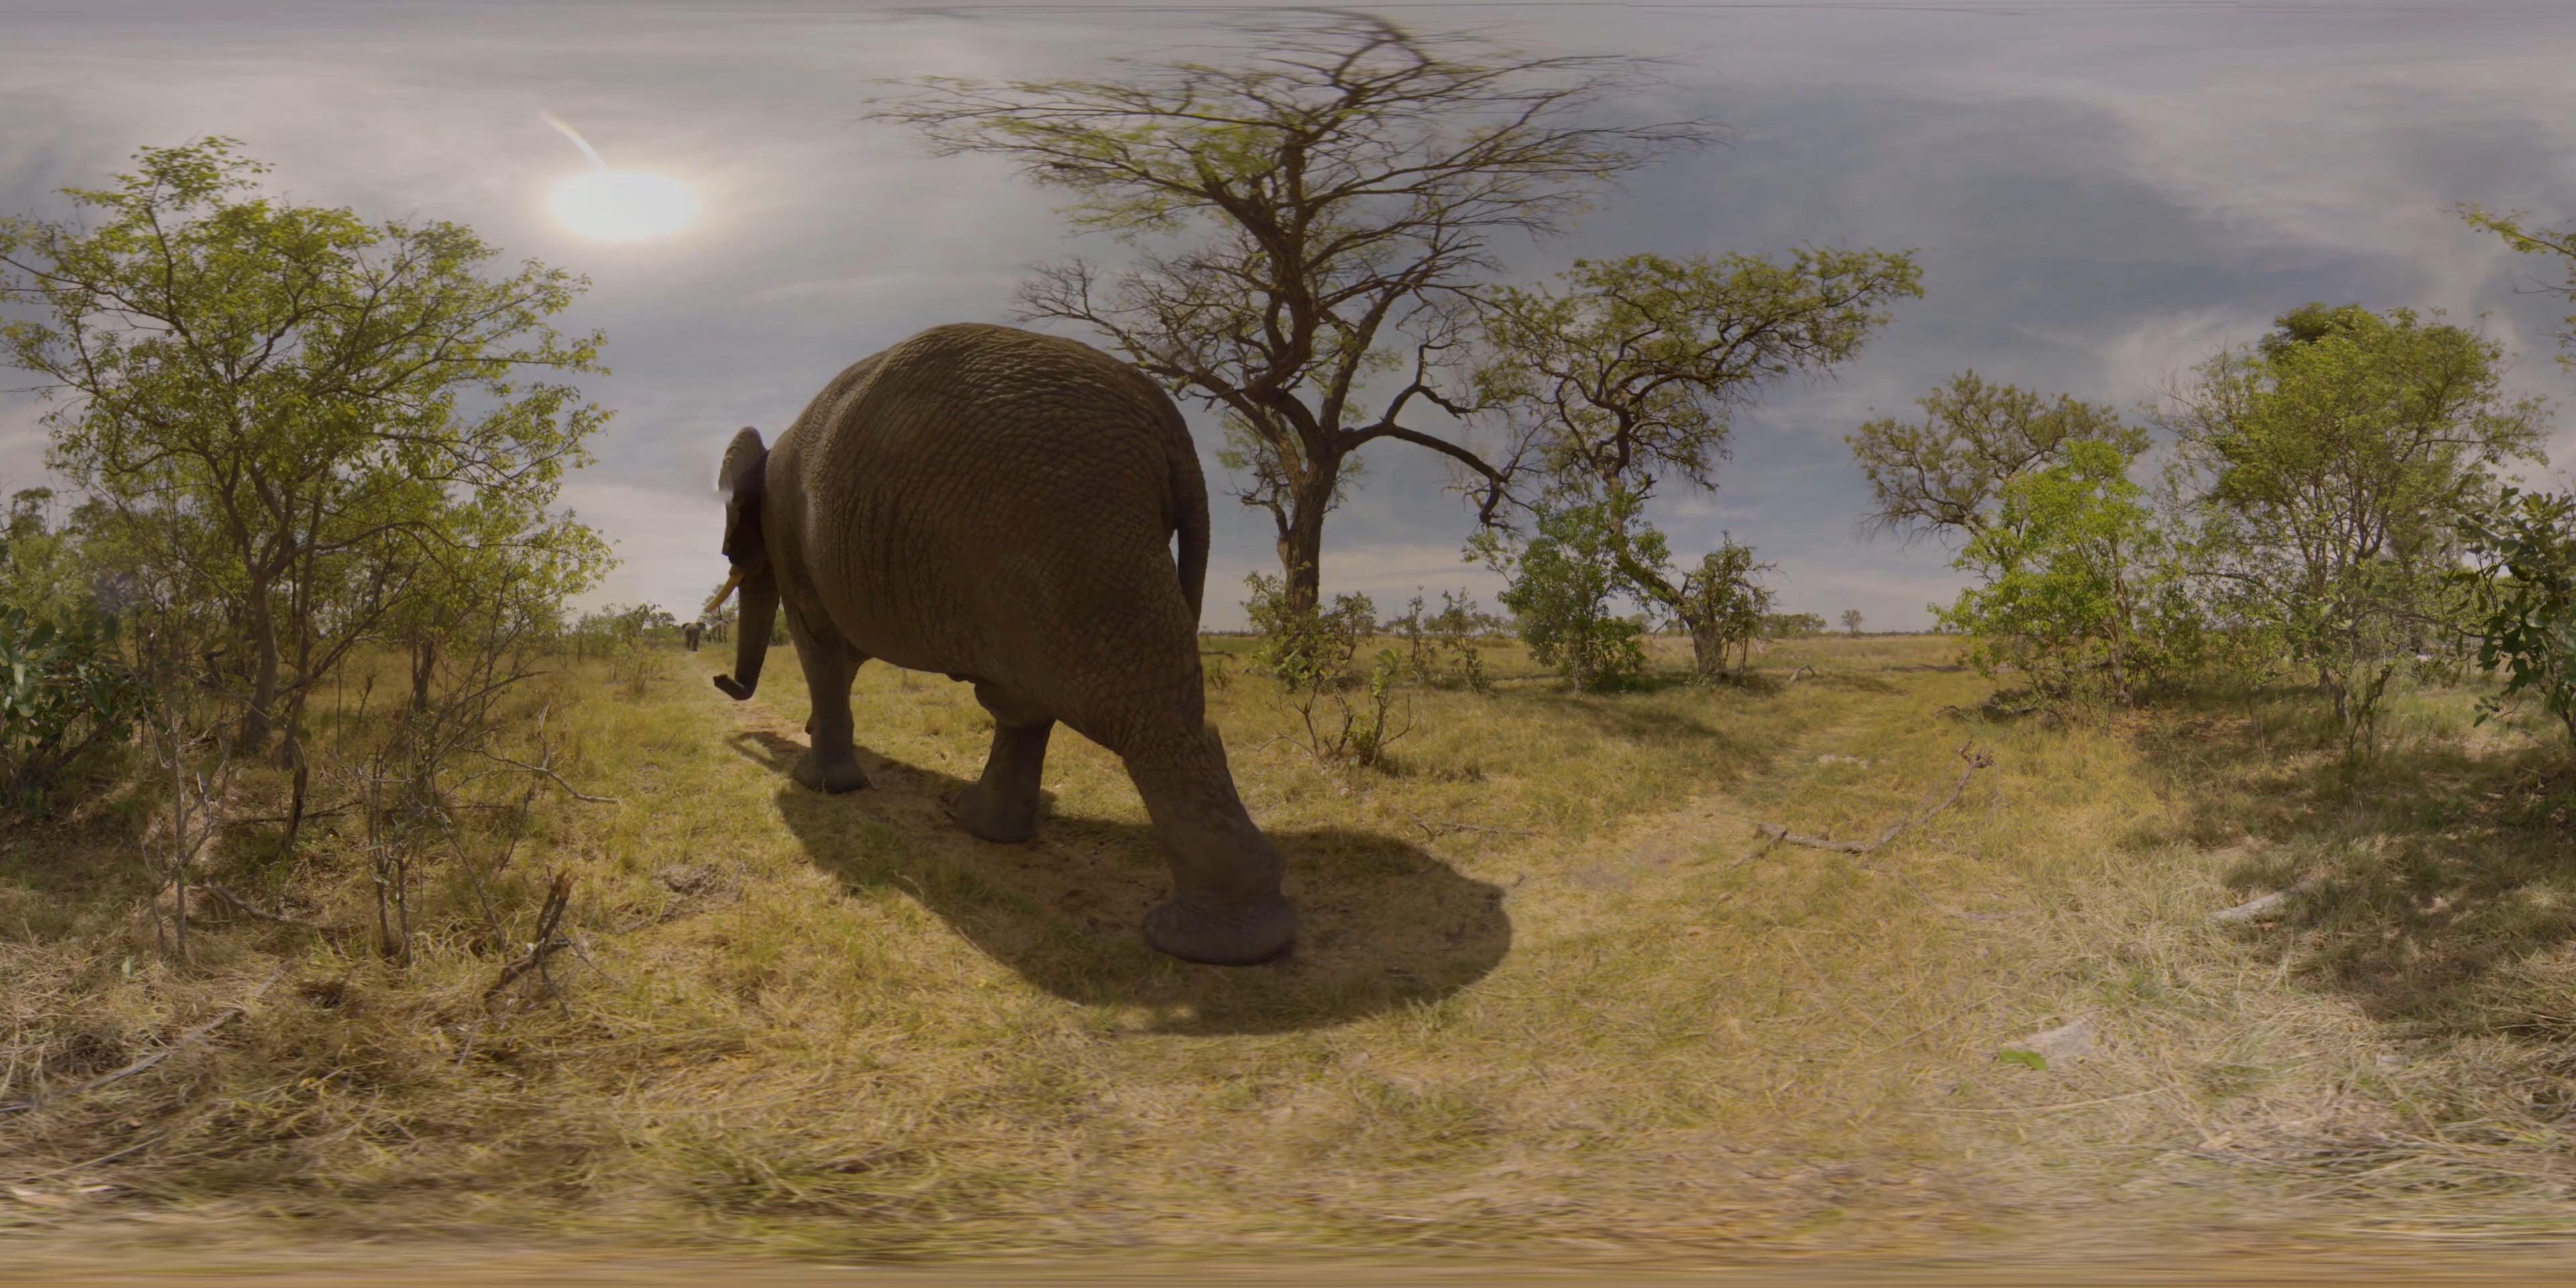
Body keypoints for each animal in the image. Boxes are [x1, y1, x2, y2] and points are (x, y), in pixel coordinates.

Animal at [704, 322, 1295, 966]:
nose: (718, 680)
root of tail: (1170, 426)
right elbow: (846, 652)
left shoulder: (789, 532)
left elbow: (820, 643)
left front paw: (818, 784)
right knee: (1028, 707)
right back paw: (985, 828)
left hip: (1070, 527)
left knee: (1134, 711)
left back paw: (1214, 944)